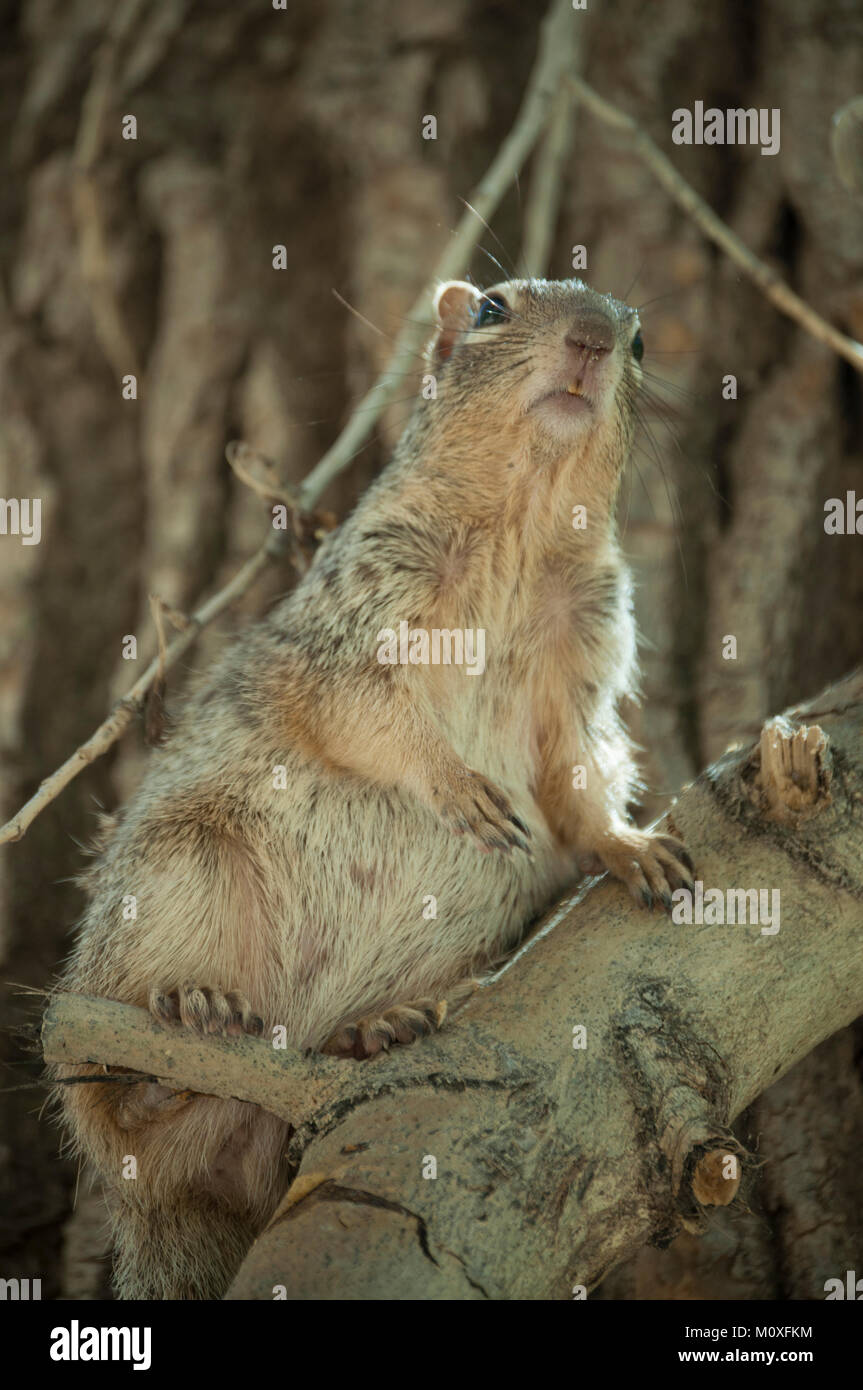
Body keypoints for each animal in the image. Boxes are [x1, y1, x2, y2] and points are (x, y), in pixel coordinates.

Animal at [53, 276, 694, 1300]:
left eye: (639, 343)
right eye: (493, 309)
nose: (593, 340)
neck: (519, 524)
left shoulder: (586, 652)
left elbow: (576, 775)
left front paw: (628, 844)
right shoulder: (356, 611)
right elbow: (361, 708)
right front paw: (458, 785)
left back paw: (376, 1032)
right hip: (175, 885)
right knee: (118, 1118)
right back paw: (181, 1034)